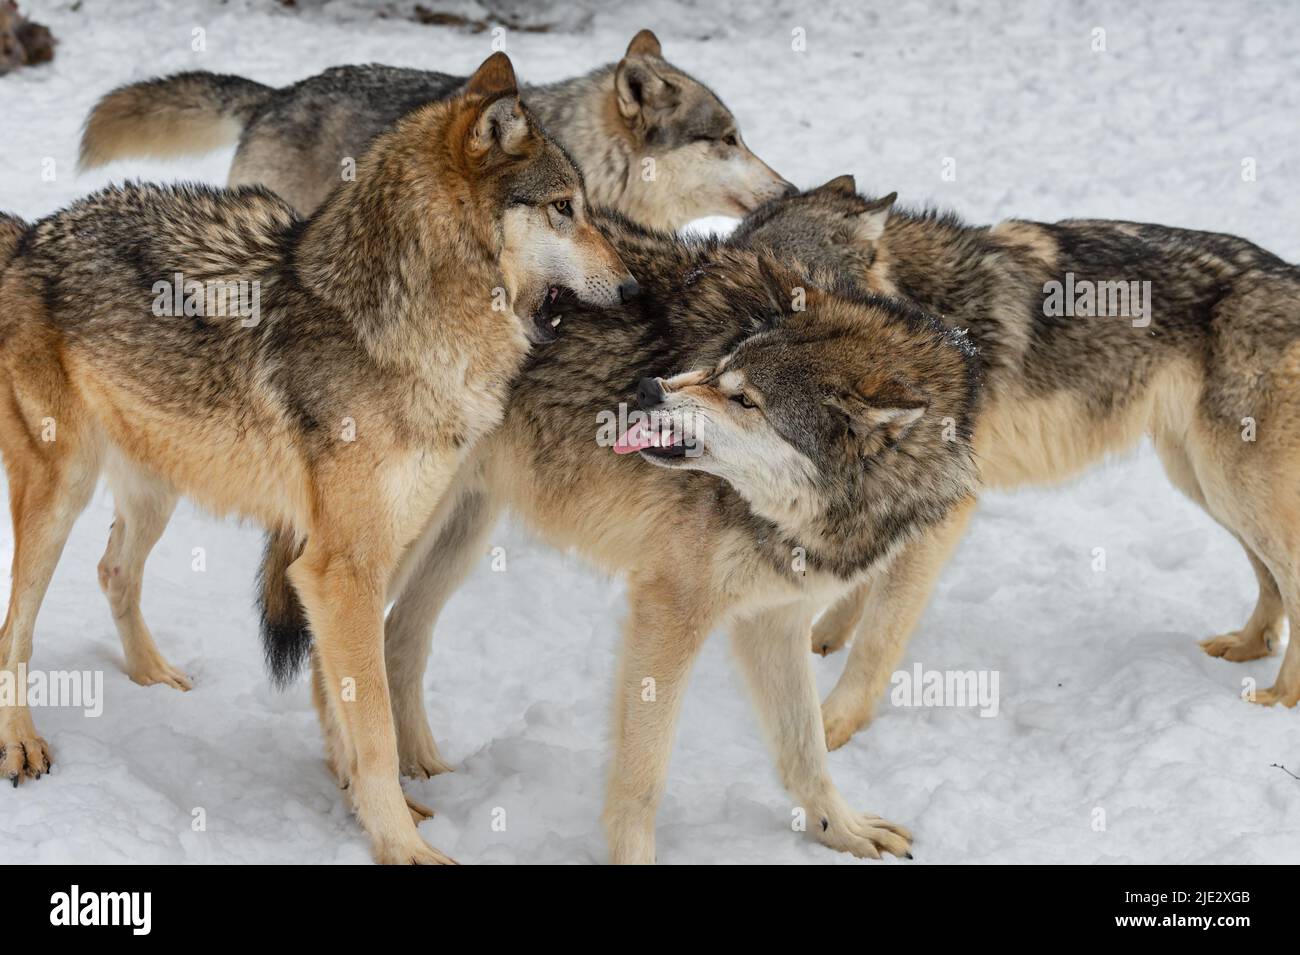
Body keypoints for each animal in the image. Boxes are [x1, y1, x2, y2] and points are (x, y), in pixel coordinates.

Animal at [0, 52, 634, 864]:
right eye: (563, 208)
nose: (633, 286)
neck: (400, 329)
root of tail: (32, 235)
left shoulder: (356, 557)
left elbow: (344, 706)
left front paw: (367, 807)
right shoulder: (341, 568)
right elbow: (373, 727)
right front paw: (402, 844)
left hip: (159, 486)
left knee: (114, 569)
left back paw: (154, 675)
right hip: (61, 491)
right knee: (17, 628)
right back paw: (23, 744)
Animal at [244, 207, 982, 863]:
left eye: (744, 399)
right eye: (721, 369)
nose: (650, 388)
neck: (818, 514)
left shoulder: (773, 619)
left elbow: (808, 753)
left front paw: (843, 830)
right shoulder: (670, 607)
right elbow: (642, 779)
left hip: (465, 528)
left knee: (397, 635)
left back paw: (422, 768)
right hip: (387, 542)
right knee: (329, 636)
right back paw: (366, 792)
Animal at [732, 174, 1300, 749]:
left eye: (770, 268)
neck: (916, 312)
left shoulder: (944, 503)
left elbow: (880, 632)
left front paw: (831, 726)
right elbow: (867, 584)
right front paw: (823, 641)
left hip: (1232, 484)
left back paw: (1280, 697)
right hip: (1205, 484)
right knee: (1270, 579)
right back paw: (1248, 646)